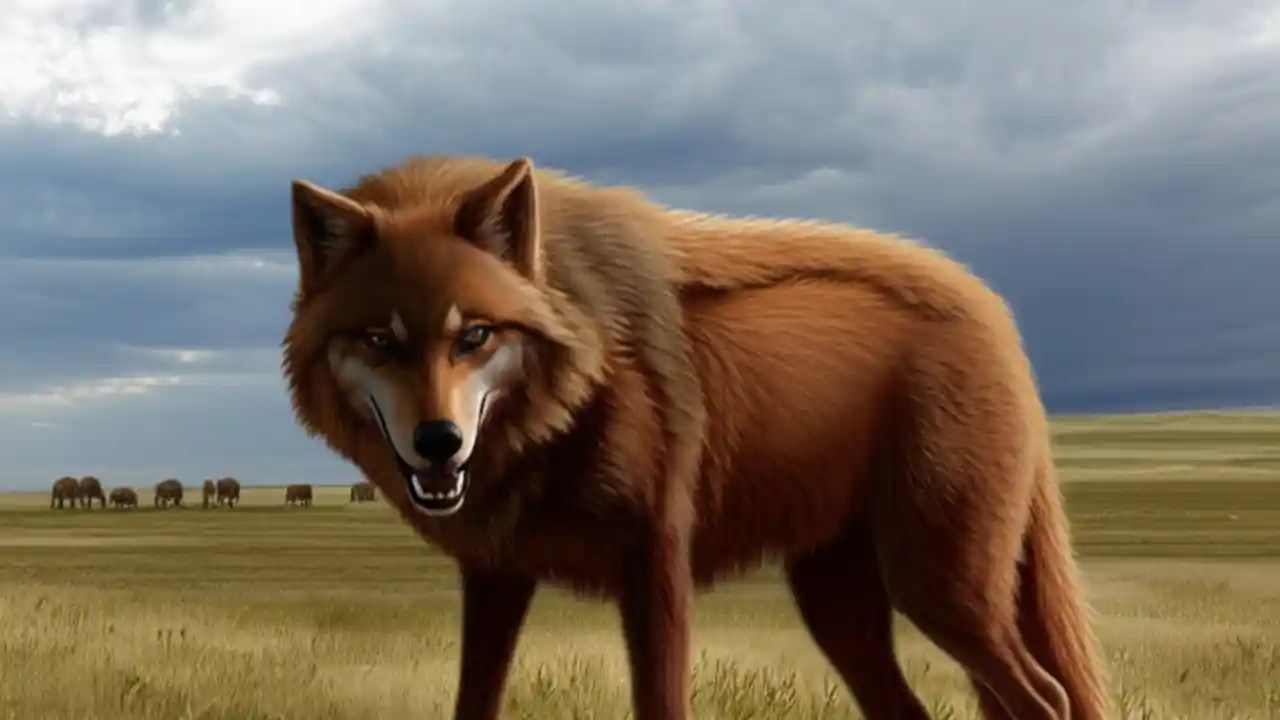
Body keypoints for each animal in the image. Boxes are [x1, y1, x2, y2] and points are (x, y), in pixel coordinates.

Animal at [282, 155, 1109, 720]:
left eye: (474, 335)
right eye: (380, 341)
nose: (439, 443)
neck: (573, 403)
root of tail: (989, 306)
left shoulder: (656, 566)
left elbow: (661, 703)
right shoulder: (494, 578)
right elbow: (473, 703)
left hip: (936, 588)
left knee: (1048, 698)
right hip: (842, 608)